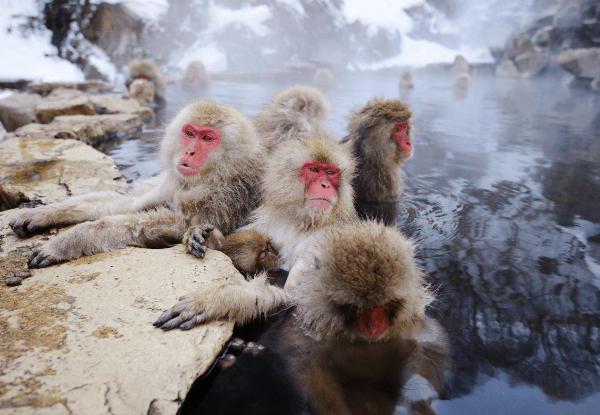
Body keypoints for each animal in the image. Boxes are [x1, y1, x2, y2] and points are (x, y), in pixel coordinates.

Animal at [154, 136, 356, 332]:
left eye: (331, 172)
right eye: (314, 170)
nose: (325, 185)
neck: (301, 221)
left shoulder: (326, 239)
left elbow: (295, 297)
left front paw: (218, 299)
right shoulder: (266, 222)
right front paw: (203, 236)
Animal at [180, 223, 448, 415]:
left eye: (383, 306)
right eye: (356, 307)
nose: (374, 326)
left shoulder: (412, 327)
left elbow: (431, 350)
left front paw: (416, 399)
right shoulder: (307, 327)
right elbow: (308, 366)